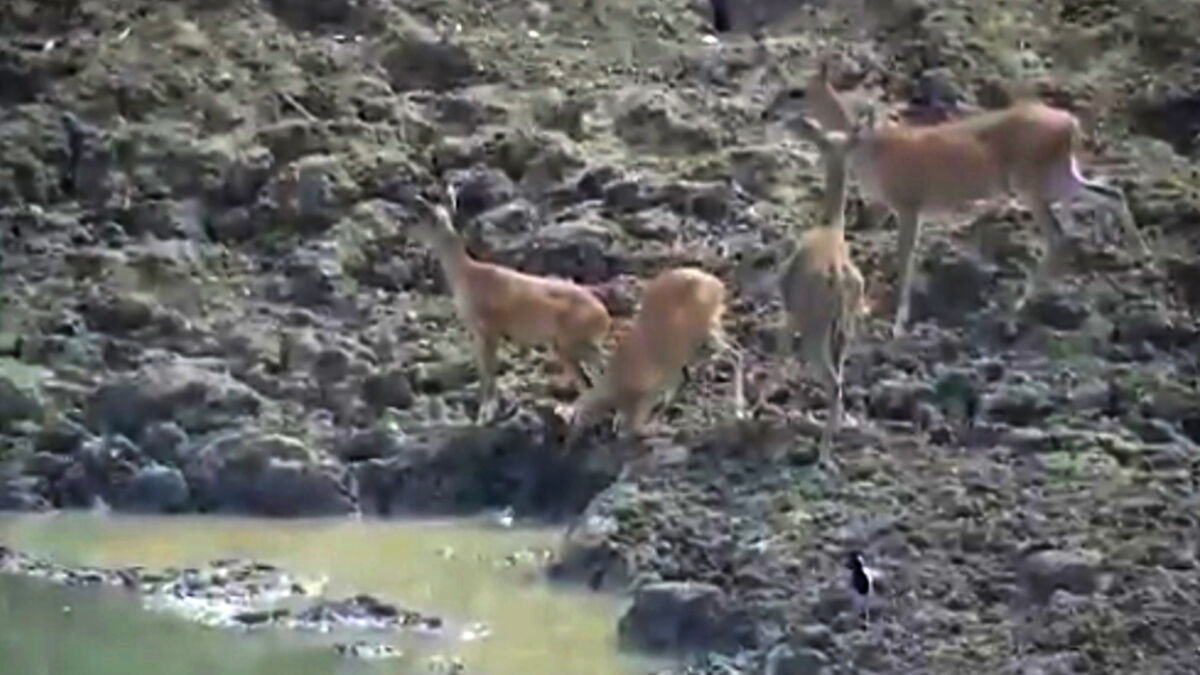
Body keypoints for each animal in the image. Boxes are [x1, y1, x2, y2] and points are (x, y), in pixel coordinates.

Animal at [407, 195, 611, 423]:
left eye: (418, 220)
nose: (405, 234)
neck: (466, 274)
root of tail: (603, 315)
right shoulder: (483, 333)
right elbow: (485, 370)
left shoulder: (488, 331)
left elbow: (489, 370)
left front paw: (487, 412)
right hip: (578, 346)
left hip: (569, 345)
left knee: (589, 378)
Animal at [566, 267, 745, 446]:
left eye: (574, 417)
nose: (571, 438)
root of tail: (716, 284)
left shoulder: (645, 396)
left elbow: (635, 427)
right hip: (706, 333)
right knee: (731, 354)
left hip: (704, 330)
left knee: (732, 355)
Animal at [763, 59, 1151, 338]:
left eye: (796, 91)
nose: (767, 113)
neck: (873, 146)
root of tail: (1069, 122)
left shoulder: (909, 208)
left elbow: (905, 261)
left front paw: (898, 325)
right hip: (1059, 179)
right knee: (1111, 194)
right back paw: (1139, 257)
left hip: (1033, 188)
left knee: (1060, 235)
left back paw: (1013, 315)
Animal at [776, 115, 869, 467]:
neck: (830, 228)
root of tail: (838, 277)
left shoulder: (791, 313)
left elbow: (782, 352)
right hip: (844, 330)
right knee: (839, 379)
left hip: (816, 332)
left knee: (832, 380)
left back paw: (824, 453)